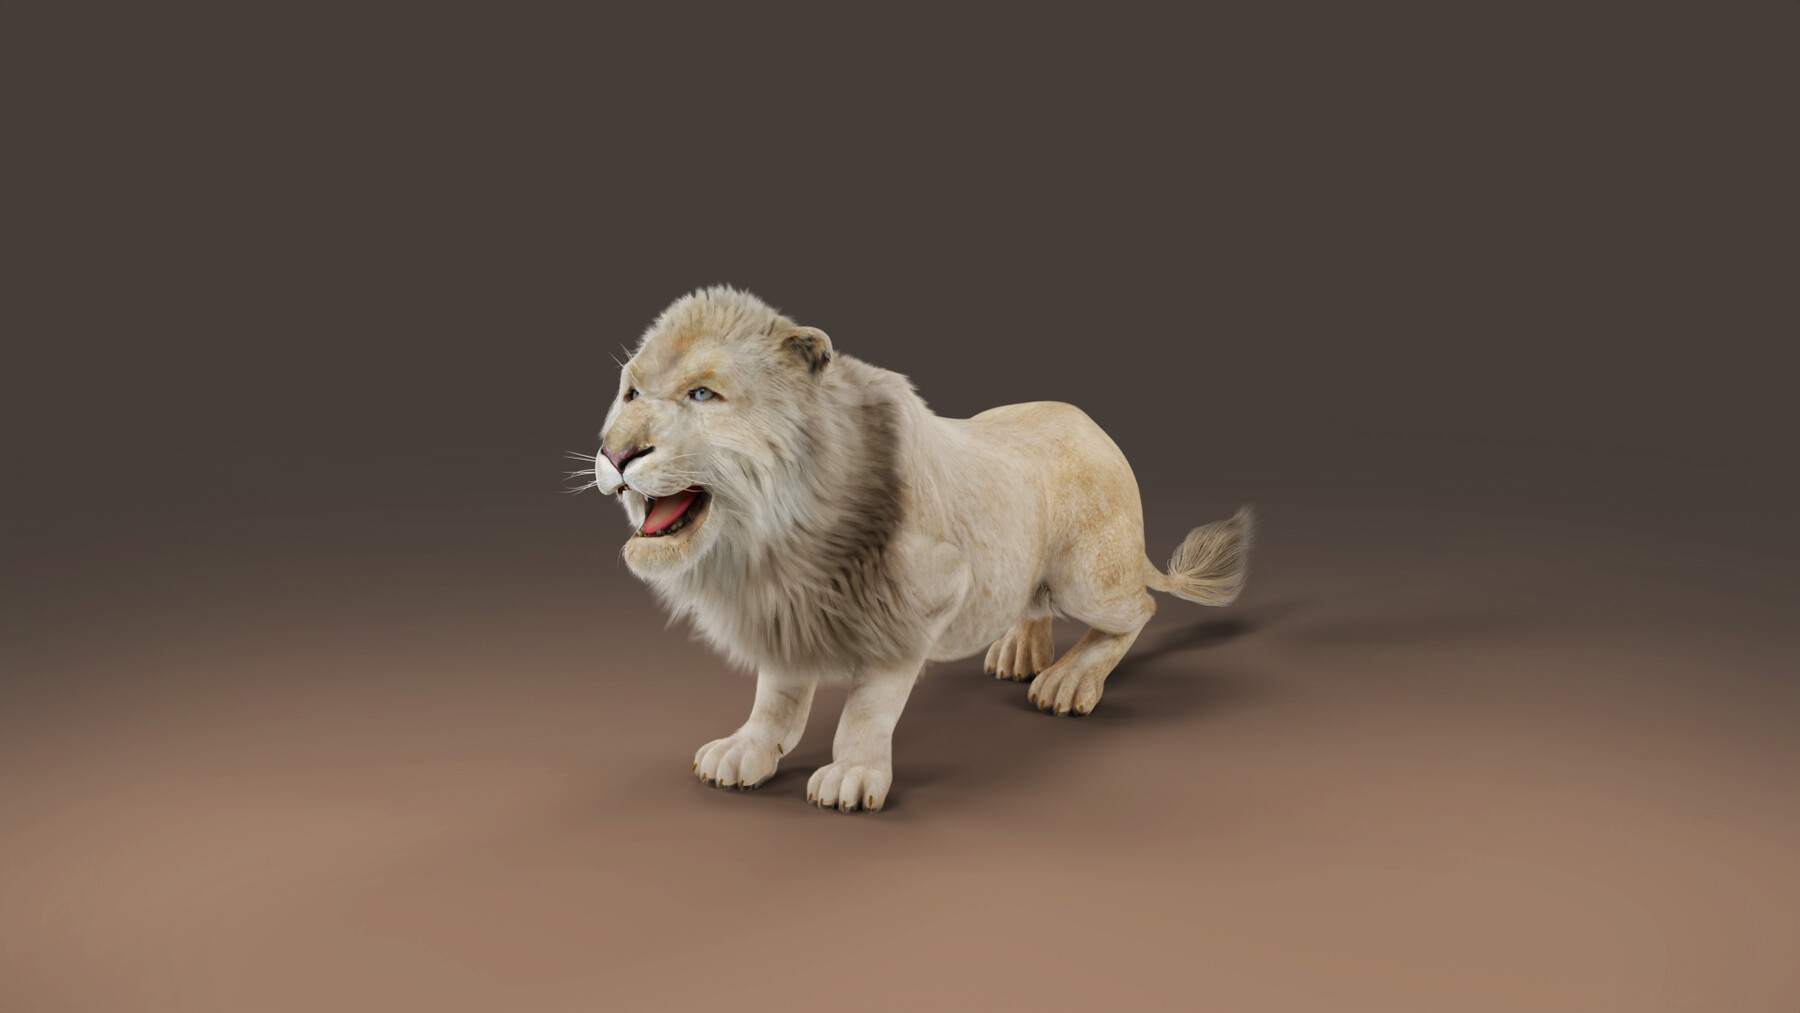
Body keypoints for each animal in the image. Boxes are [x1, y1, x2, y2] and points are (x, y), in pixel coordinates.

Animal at [589, 287, 1252, 812]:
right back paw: (1019, 652)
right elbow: (776, 695)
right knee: (1035, 601)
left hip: (1088, 577)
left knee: (1139, 611)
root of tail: (1097, 428)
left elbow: (869, 704)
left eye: (703, 395)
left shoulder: (919, 599)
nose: (614, 454)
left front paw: (852, 774)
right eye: (631, 393)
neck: (776, 544)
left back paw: (1067, 681)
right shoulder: (784, 612)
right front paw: (746, 750)